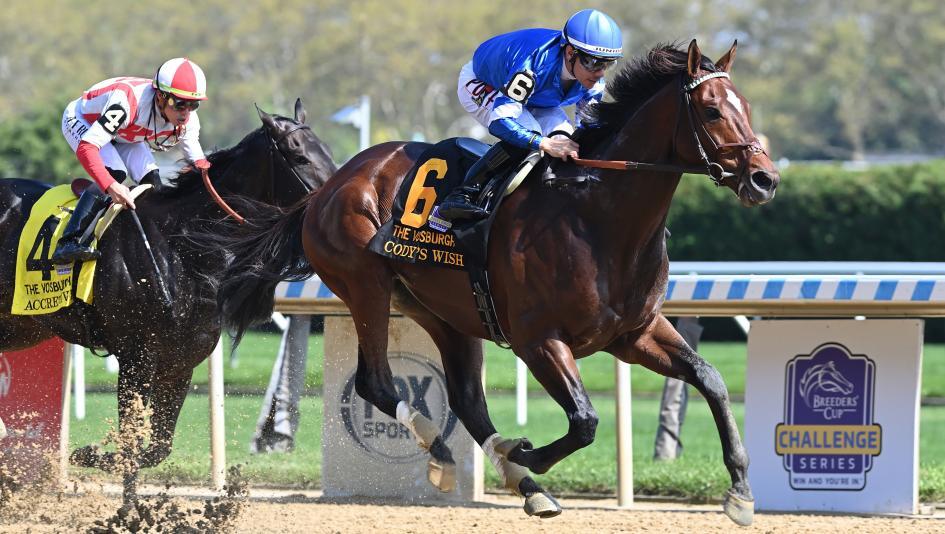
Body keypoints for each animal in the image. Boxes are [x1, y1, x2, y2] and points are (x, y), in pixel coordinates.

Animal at [0, 99, 335, 501]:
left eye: (327, 151)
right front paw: (122, 501)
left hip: (19, 327)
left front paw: (89, 454)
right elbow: (131, 444)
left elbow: (157, 447)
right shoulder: (135, 356)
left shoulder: (180, 362)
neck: (181, 246)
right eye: (299, 157)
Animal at [213, 41, 779, 525]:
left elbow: (710, 378)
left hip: (443, 312)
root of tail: (330, 185)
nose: (764, 179)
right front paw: (528, 450)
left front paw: (740, 491)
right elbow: (585, 419)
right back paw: (456, 451)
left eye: (747, 106)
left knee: (466, 400)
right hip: (365, 285)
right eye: (712, 111)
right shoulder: (538, 339)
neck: (596, 214)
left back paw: (518, 482)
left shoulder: (632, 333)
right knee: (378, 382)